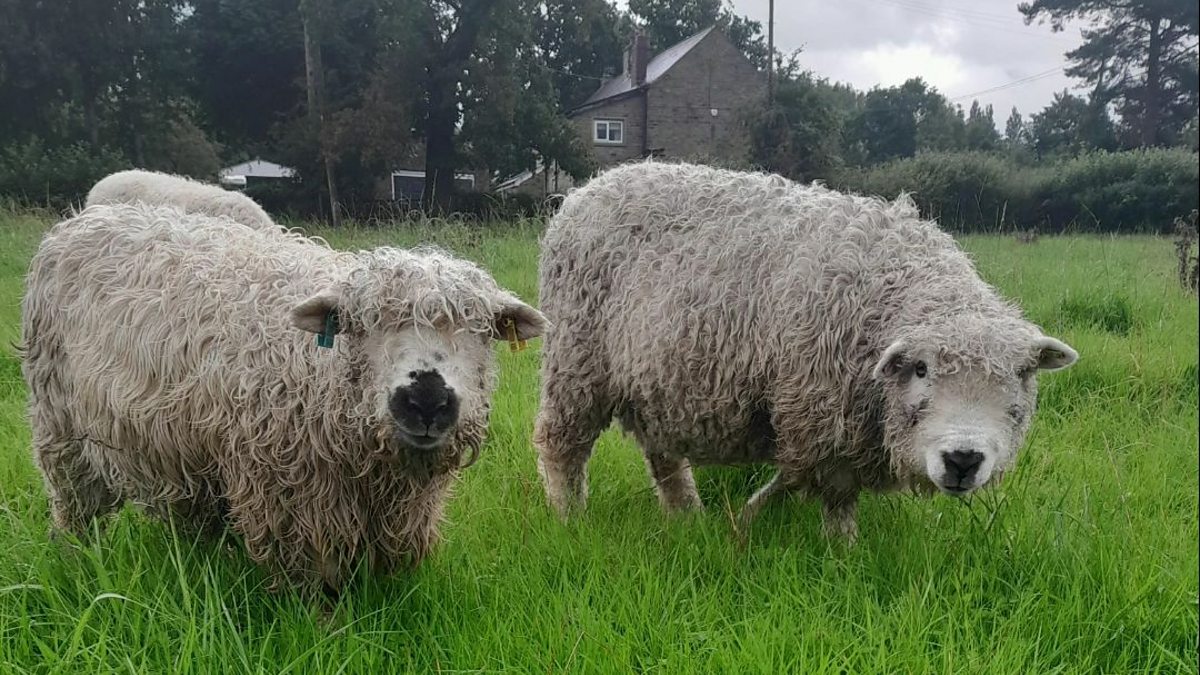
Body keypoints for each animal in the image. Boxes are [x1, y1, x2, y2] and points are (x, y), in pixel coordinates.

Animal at [21, 202, 546, 590]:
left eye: (481, 331)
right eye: (361, 323)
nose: (426, 402)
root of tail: (83, 218)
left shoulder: (395, 513)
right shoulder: (293, 505)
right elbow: (318, 594)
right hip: (60, 427)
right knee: (73, 510)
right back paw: (72, 562)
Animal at [532, 160, 1077, 542]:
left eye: (1022, 375)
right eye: (921, 369)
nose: (963, 458)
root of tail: (587, 188)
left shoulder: (837, 424)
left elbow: (815, 487)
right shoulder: (817, 411)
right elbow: (820, 489)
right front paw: (770, 527)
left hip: (656, 379)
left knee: (663, 455)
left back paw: (687, 517)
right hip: (576, 358)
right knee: (560, 444)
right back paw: (569, 519)